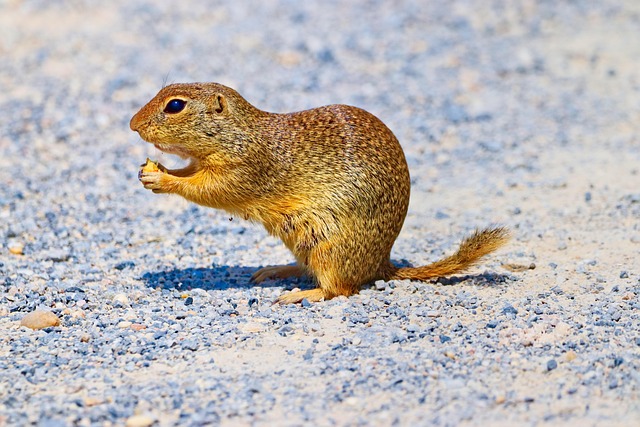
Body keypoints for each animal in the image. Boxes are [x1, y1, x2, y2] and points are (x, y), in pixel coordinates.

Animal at [130, 82, 510, 304]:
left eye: (175, 106)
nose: (132, 125)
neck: (238, 132)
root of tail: (382, 263)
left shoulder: (242, 170)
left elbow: (207, 190)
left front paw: (160, 179)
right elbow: (190, 174)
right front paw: (150, 172)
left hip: (330, 246)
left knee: (340, 289)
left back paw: (299, 295)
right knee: (307, 267)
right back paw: (276, 270)